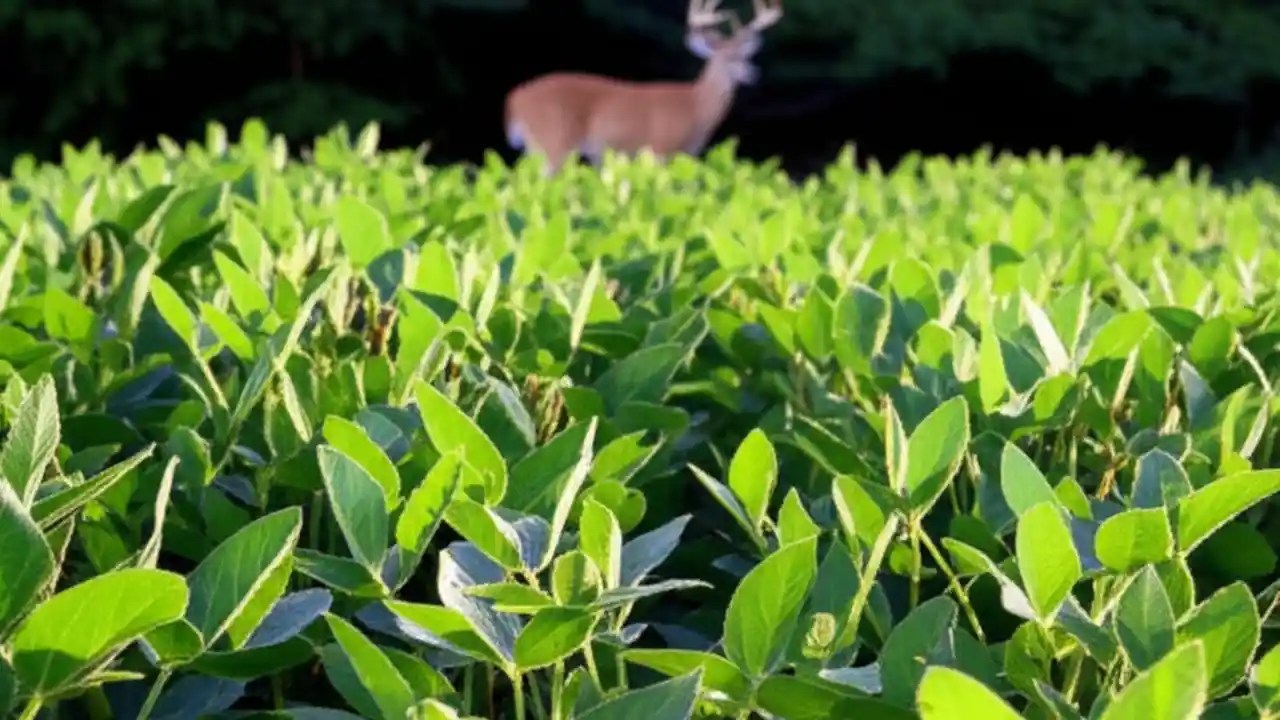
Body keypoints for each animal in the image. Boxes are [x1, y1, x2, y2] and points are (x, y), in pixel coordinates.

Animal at [503, 0, 784, 176]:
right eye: (725, 58)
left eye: (747, 56)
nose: (753, 73)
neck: (696, 108)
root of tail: (515, 99)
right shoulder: (660, 147)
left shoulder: (687, 154)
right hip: (553, 141)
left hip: (535, 146)